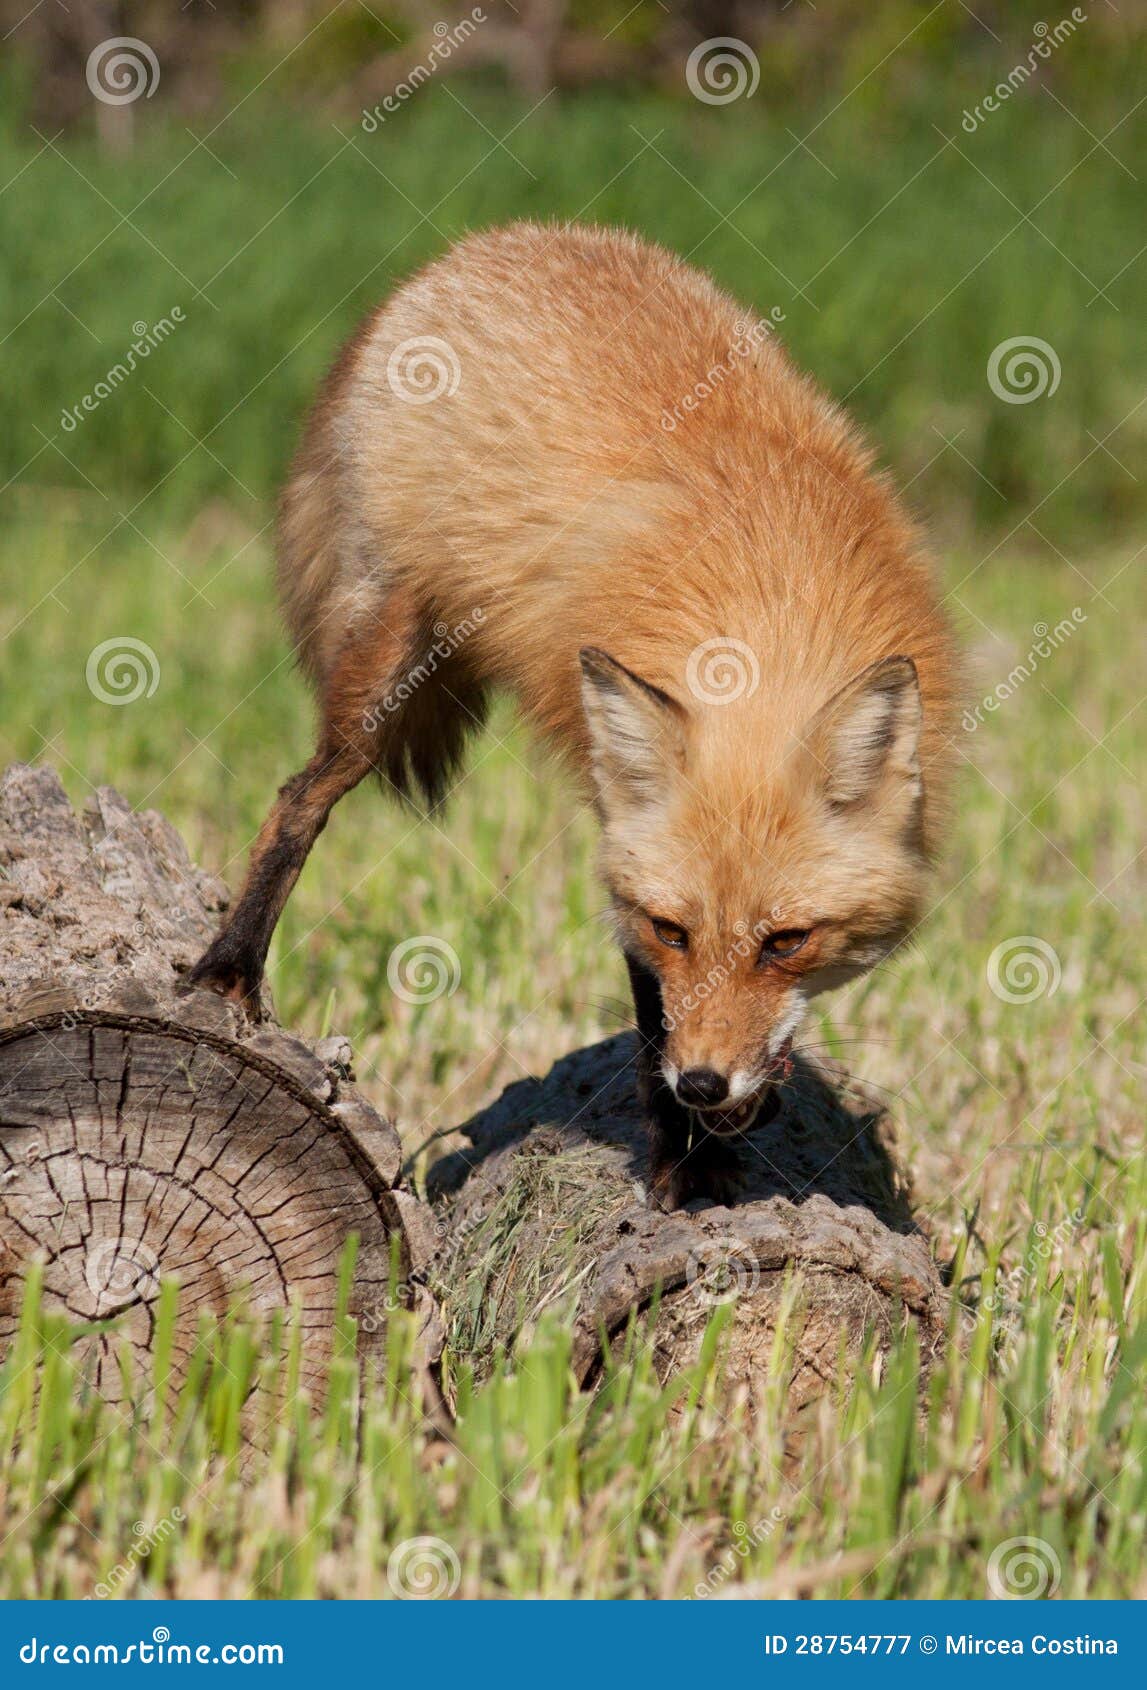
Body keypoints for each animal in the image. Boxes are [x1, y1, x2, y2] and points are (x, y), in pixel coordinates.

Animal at [188, 221, 960, 1211]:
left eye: (786, 942)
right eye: (674, 932)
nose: (702, 1084)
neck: (769, 612)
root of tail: (480, 245)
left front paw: (734, 1113)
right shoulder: (622, 843)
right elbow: (654, 1017)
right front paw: (684, 1158)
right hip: (385, 673)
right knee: (298, 798)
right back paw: (231, 967)